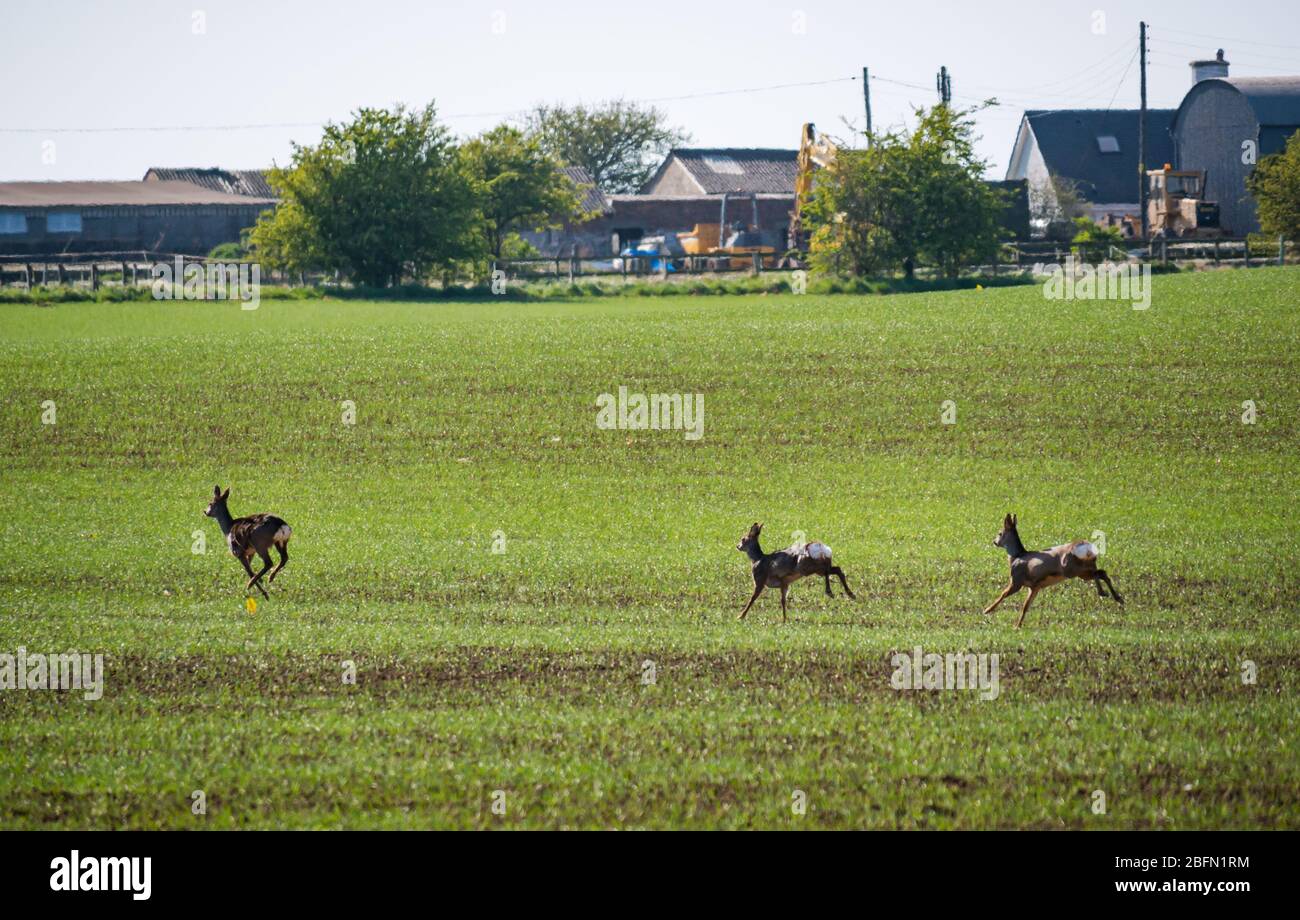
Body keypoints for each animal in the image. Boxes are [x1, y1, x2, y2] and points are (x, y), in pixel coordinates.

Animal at [983, 513, 1123, 628]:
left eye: (1000, 533)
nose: (994, 542)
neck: (1016, 556)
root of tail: (1085, 546)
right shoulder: (1035, 586)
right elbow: (1025, 606)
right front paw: (1018, 626)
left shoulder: (1016, 581)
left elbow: (1003, 594)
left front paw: (987, 610)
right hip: (1086, 567)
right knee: (1102, 572)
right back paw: (1117, 598)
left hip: (1071, 569)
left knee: (1098, 573)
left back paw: (1103, 593)